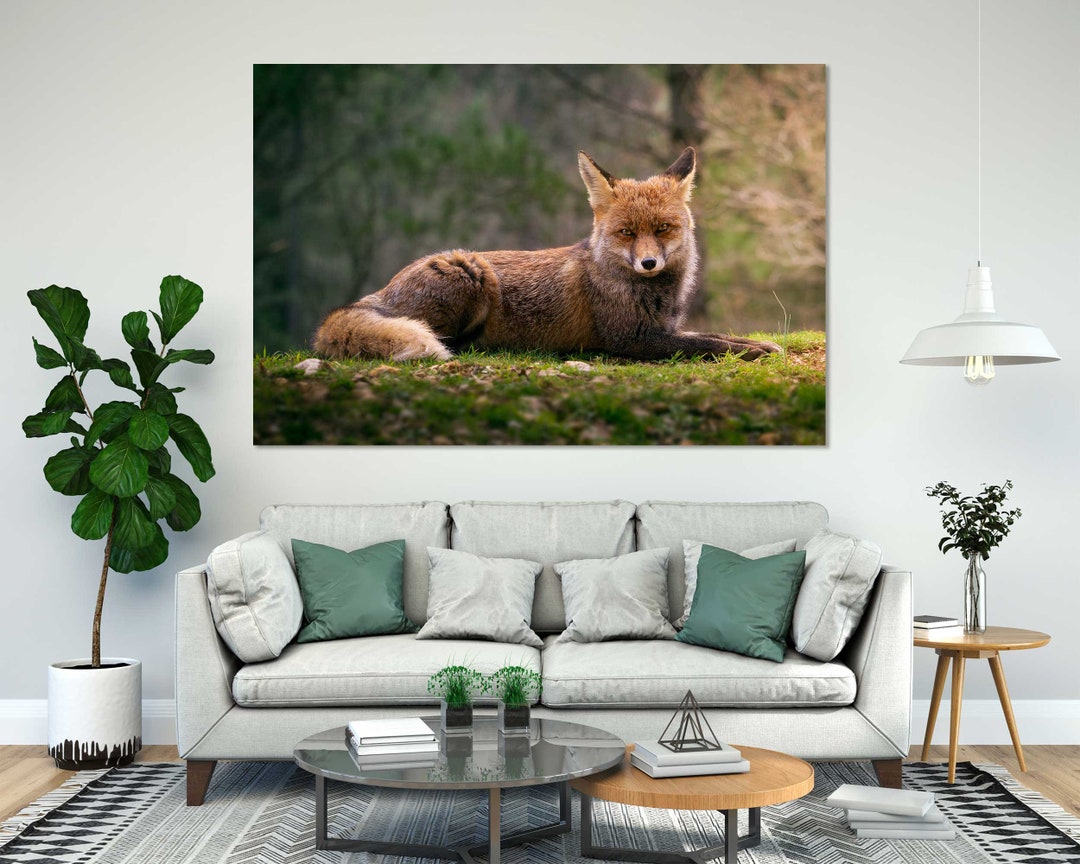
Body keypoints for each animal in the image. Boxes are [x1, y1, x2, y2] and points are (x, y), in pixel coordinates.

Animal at [313, 147, 780, 363]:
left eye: (663, 229)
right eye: (627, 232)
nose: (648, 263)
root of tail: (378, 295)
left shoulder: (664, 329)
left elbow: (721, 337)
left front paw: (761, 344)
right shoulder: (632, 338)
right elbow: (709, 344)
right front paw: (759, 351)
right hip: (471, 272)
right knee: (450, 341)